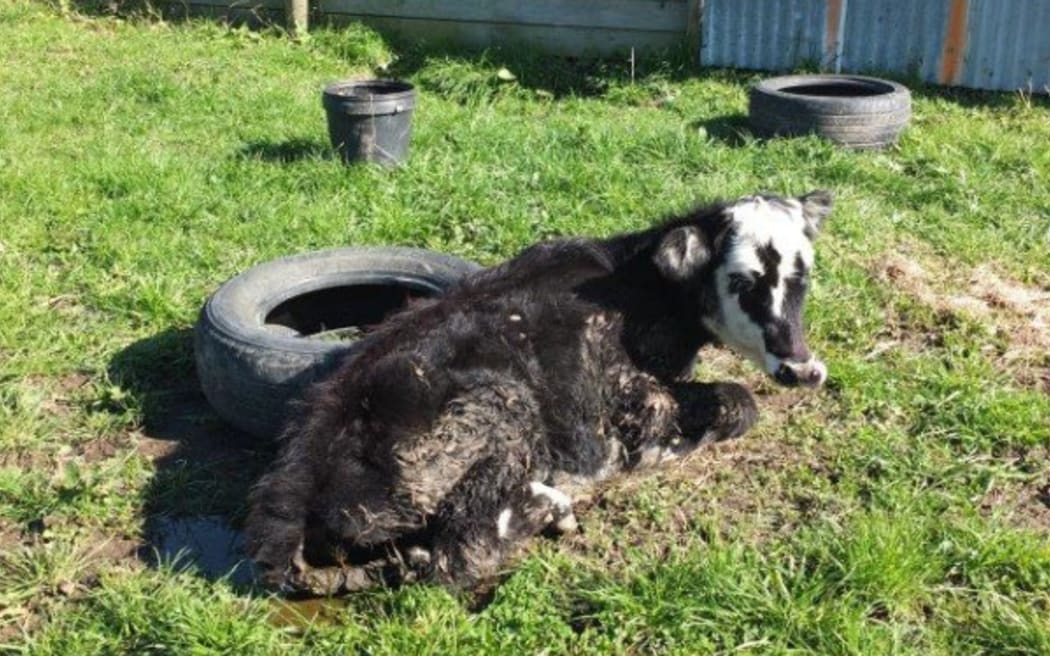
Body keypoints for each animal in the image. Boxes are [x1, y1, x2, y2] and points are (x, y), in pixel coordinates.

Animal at [244, 191, 832, 595]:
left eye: (802, 276)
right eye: (743, 281)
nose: (803, 368)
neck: (641, 287)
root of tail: (297, 479)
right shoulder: (629, 401)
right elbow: (736, 403)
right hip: (498, 411)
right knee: (458, 558)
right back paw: (551, 506)